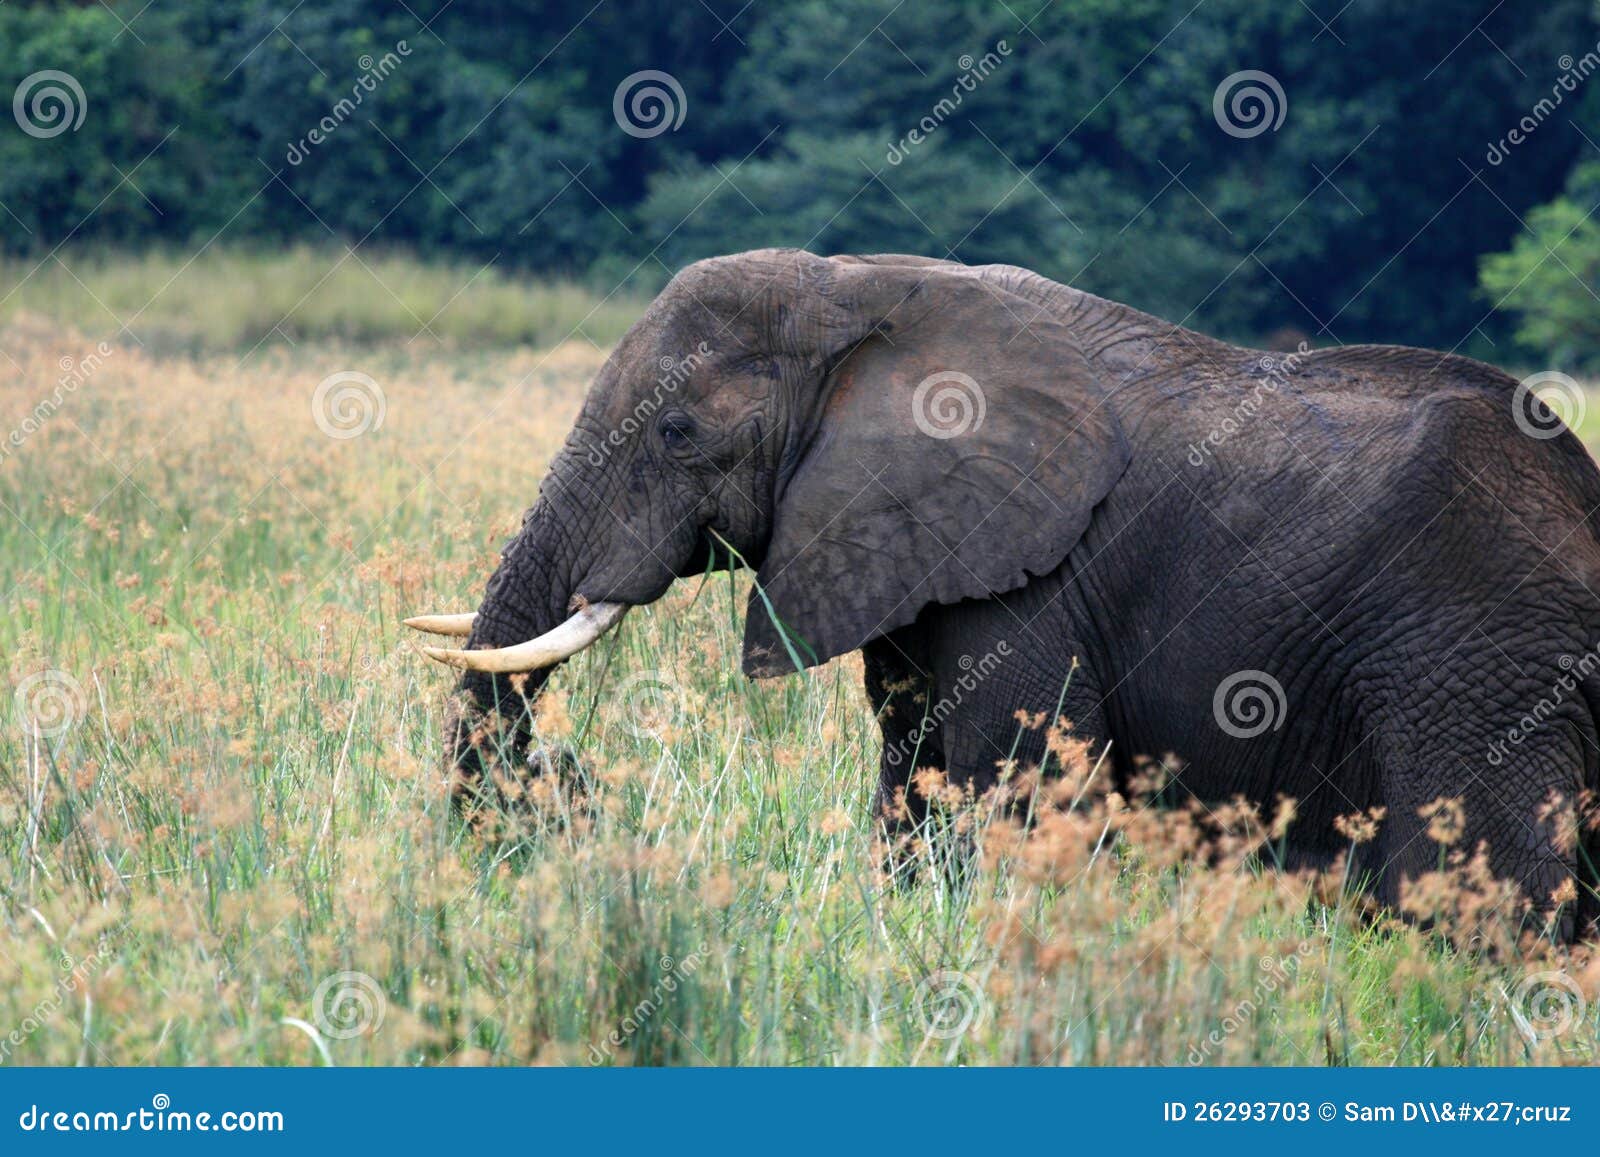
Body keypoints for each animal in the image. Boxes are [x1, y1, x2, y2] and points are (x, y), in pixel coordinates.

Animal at [410, 248, 1600, 940]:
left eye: (675, 431)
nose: (572, 782)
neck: (855, 289)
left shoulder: (1036, 577)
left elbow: (1017, 785)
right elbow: (913, 778)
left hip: (1476, 662)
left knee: (1478, 886)